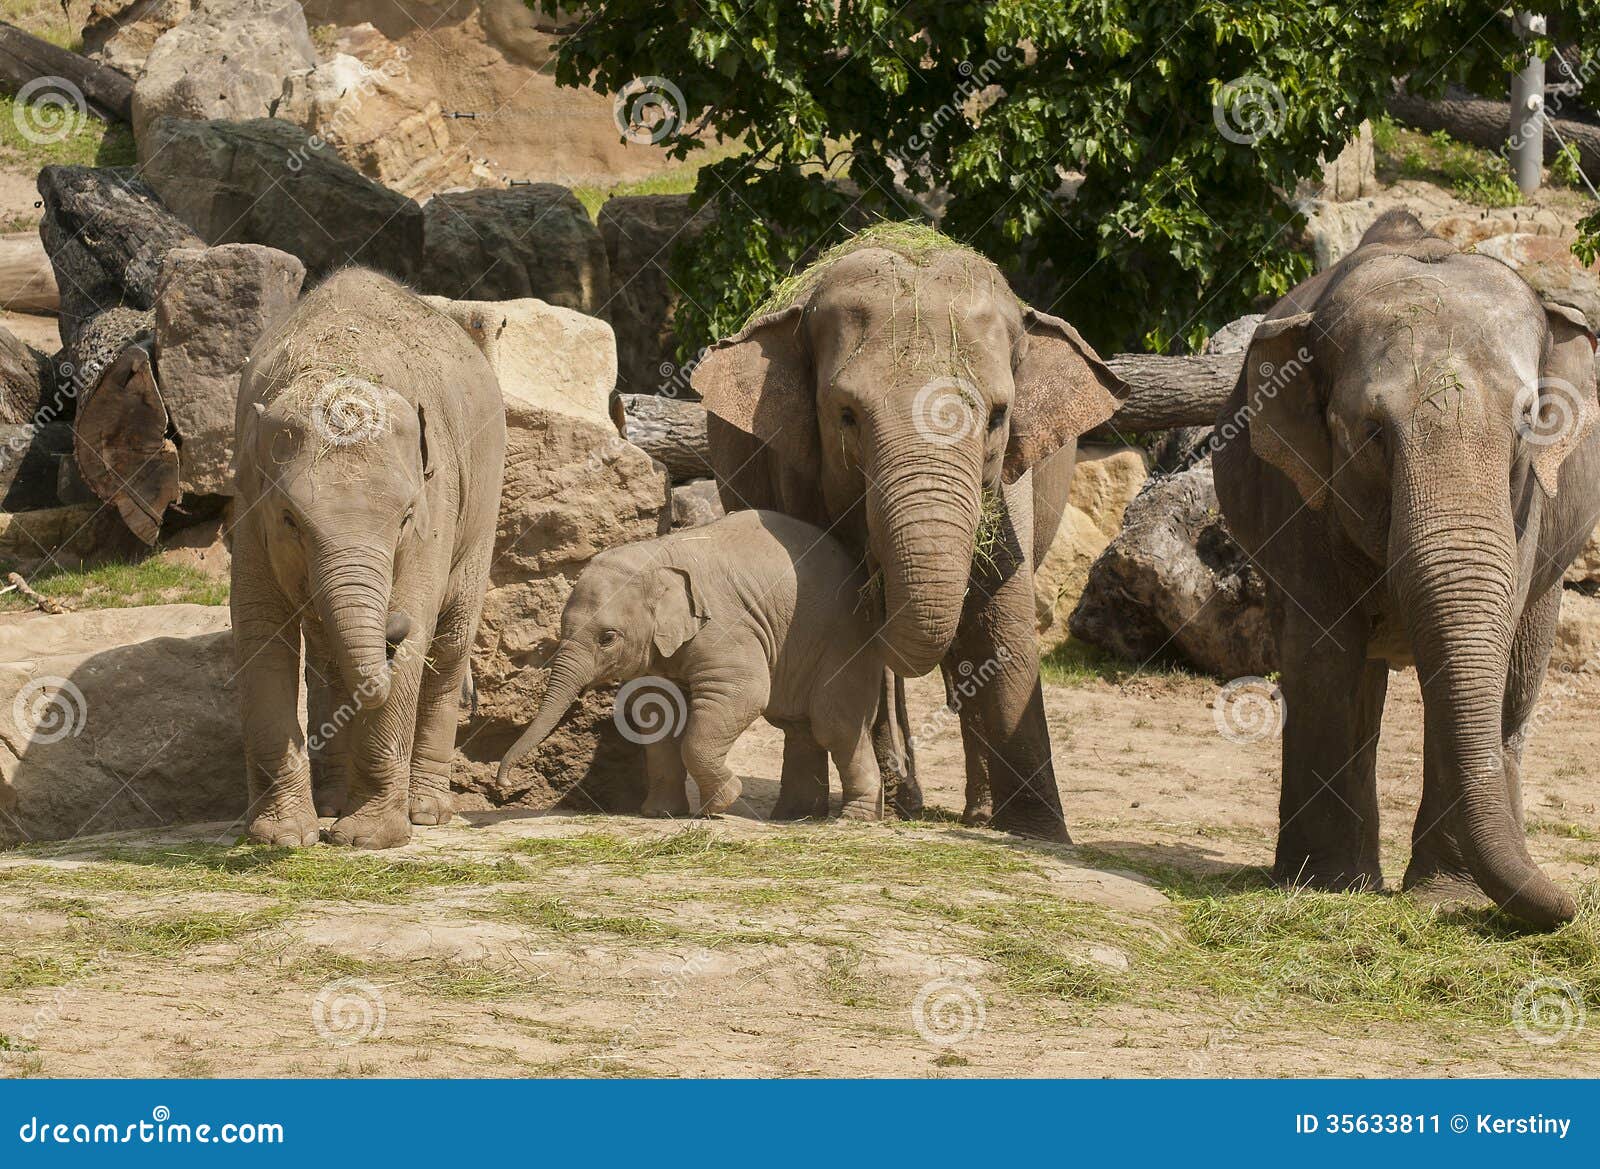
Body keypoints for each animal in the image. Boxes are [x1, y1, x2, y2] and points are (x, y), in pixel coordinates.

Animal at [231, 268, 507, 849]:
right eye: (290, 519)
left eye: (405, 517)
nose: (391, 627)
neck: (338, 364)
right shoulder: (247, 510)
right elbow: (260, 633)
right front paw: (282, 837)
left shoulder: (436, 505)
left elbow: (415, 643)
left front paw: (367, 839)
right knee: (328, 659)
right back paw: (333, 803)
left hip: (483, 510)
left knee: (449, 645)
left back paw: (426, 811)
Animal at [496, 510, 885, 820]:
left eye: (607, 637)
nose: (502, 785)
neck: (656, 555)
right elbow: (657, 711)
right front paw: (659, 814)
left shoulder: (725, 625)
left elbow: (744, 693)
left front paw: (721, 804)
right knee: (798, 726)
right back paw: (794, 816)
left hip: (846, 637)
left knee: (833, 724)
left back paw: (851, 819)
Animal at [690, 226, 1125, 841]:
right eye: (846, 415)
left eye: (998, 416)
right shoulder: (793, 465)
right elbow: (822, 616)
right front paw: (826, 810)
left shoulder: (1010, 478)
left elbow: (1001, 618)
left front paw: (1040, 835)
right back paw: (883, 804)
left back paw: (972, 813)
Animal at [1214, 209, 1600, 927]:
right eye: (1372, 435)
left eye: (1527, 427)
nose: (1573, 902)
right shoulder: (1298, 495)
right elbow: (1324, 655)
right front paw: (1328, 885)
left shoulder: (1528, 509)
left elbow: (1493, 642)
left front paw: (1446, 895)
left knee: (1521, 667)